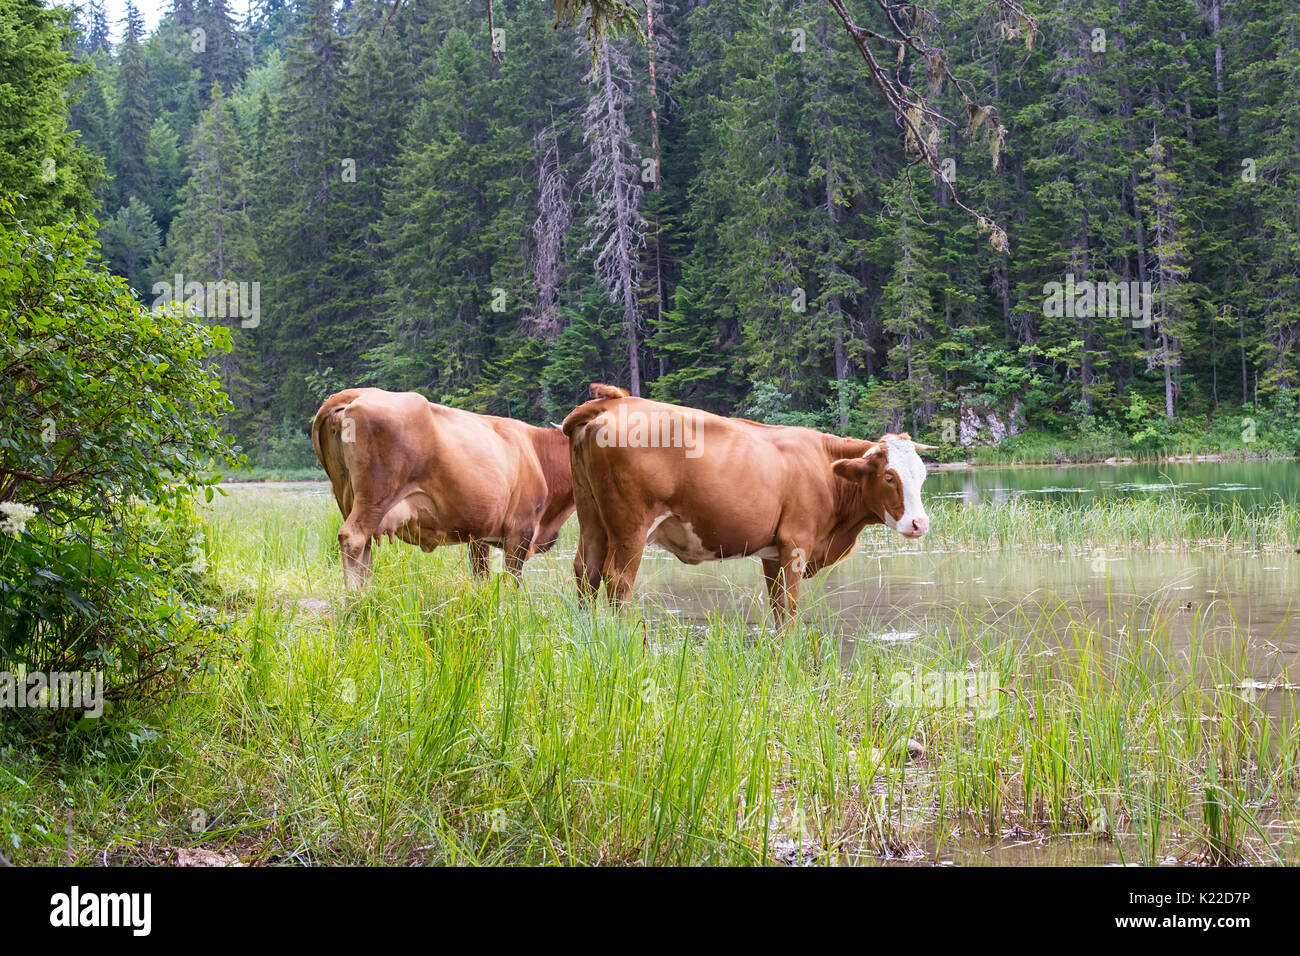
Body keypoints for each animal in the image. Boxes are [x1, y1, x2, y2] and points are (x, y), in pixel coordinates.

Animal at [312, 388, 574, 586]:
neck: (537, 453)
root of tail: (355, 393)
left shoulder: (480, 535)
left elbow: (481, 577)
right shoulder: (520, 529)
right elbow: (512, 581)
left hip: (347, 498)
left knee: (363, 550)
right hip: (374, 499)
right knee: (353, 539)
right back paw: (358, 599)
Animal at [561, 385, 933, 624]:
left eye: (923, 475)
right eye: (889, 476)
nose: (920, 524)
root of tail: (613, 404)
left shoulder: (773, 552)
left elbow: (778, 609)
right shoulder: (797, 542)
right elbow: (790, 608)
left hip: (591, 518)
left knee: (586, 571)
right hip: (630, 527)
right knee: (617, 579)